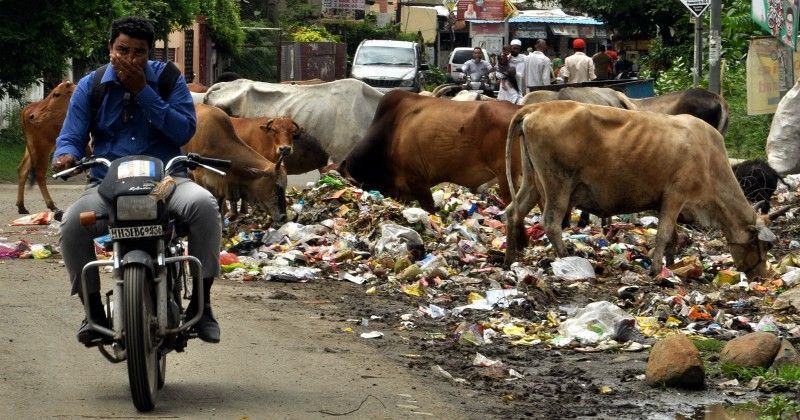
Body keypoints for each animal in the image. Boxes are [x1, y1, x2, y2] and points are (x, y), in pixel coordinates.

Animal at [16, 80, 75, 215]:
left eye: (57, 94)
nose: (33, 116)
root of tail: (27, 109)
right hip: (43, 146)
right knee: (39, 174)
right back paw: (52, 206)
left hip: (33, 148)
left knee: (23, 170)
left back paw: (21, 206)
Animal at [503, 101, 776, 278]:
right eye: (762, 245)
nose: (761, 276)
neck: (710, 158)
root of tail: (536, 107)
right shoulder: (676, 195)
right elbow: (664, 234)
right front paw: (655, 270)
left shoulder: (667, 201)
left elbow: (673, 236)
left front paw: (671, 264)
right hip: (557, 185)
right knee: (551, 223)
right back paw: (565, 260)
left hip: (532, 182)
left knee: (513, 211)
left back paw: (510, 259)